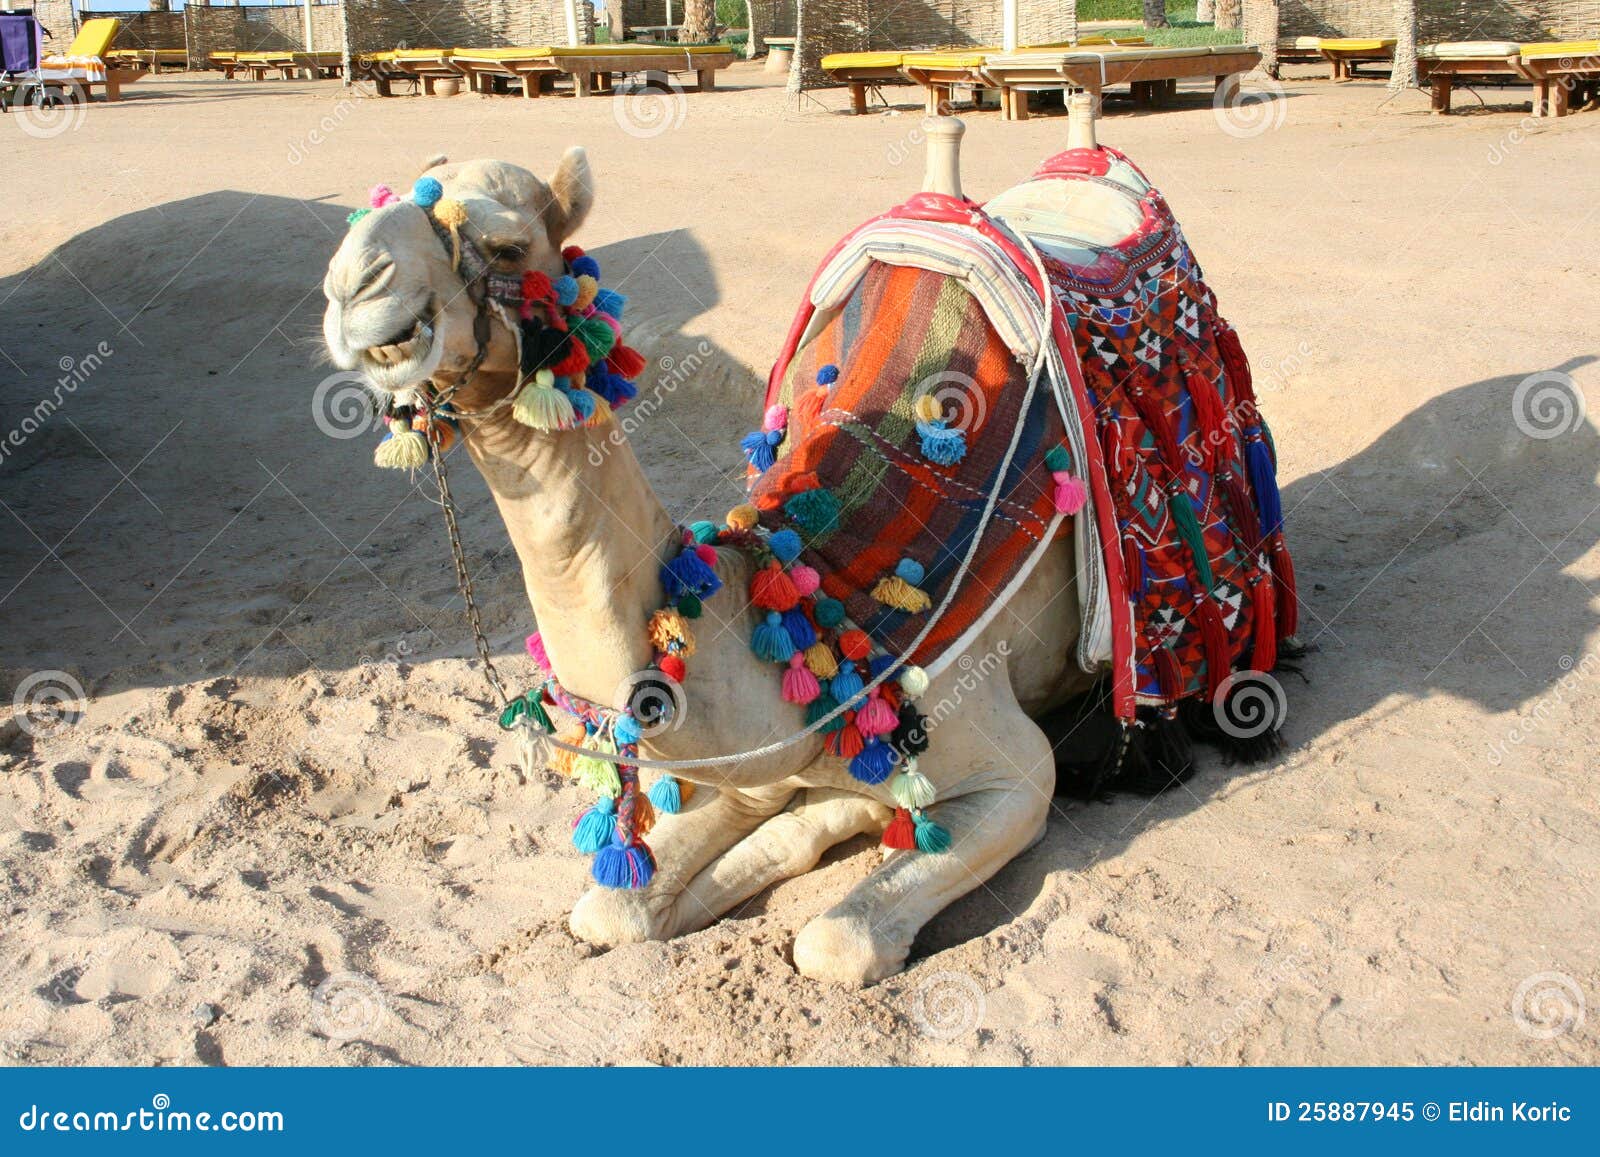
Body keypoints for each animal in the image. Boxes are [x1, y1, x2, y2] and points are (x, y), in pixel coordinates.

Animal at [319, 125, 1201, 987]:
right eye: (374, 204)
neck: (815, 600)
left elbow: (835, 940)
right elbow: (618, 905)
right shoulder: (764, 755)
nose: (351, 286)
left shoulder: (1014, 765)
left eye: (506, 245)